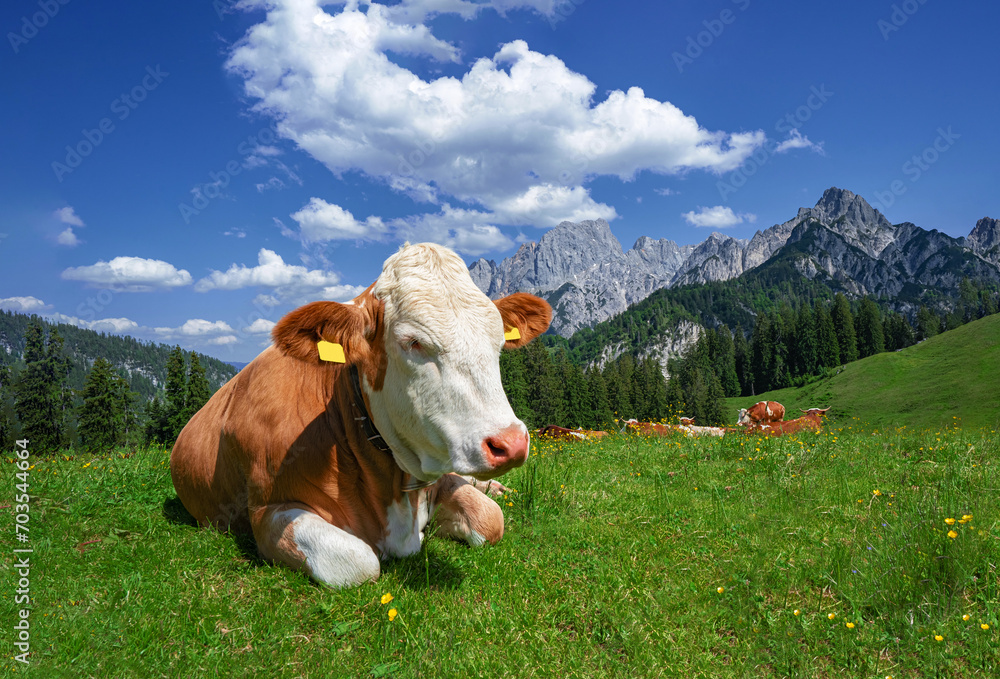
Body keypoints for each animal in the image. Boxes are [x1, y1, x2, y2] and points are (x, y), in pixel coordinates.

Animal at [170, 243, 552, 589]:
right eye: (413, 342)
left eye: (498, 341)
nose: (510, 444)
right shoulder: (267, 512)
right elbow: (359, 562)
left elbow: (490, 520)